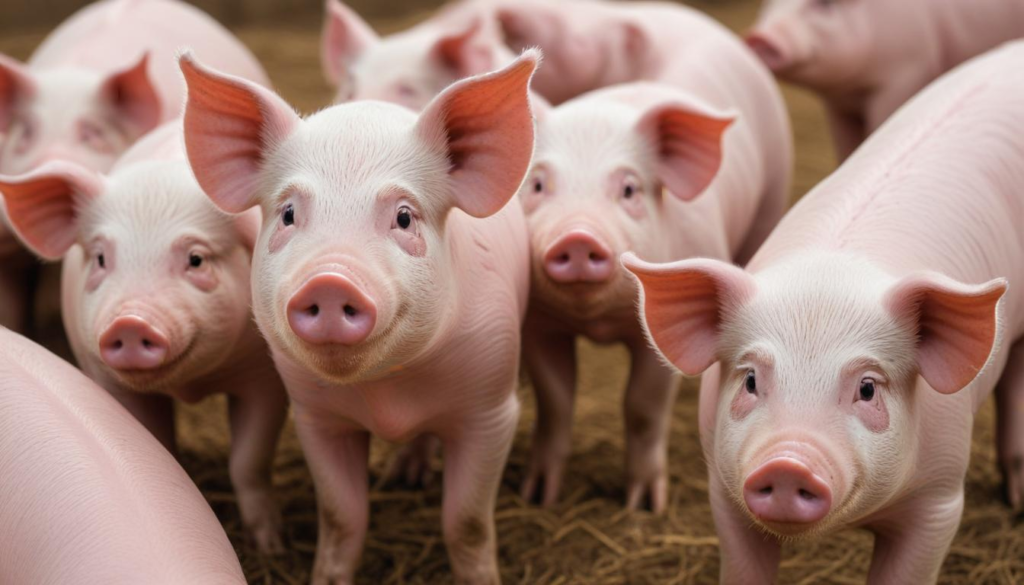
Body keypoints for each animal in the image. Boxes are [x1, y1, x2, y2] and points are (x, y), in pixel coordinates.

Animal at [0, 122, 289, 555]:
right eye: (101, 258)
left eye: (196, 259)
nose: (131, 322)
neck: (191, 385)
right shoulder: (107, 380)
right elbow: (156, 445)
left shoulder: (264, 379)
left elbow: (248, 461)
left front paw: (270, 546)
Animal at [177, 49, 537, 584]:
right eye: (287, 213)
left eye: (404, 216)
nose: (330, 280)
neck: (387, 397)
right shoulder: (316, 416)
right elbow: (342, 517)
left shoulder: (492, 408)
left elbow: (467, 523)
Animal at [517, 3, 792, 511]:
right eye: (539, 184)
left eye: (629, 188)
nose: (577, 236)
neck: (598, 322)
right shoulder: (539, 324)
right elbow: (556, 401)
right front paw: (538, 497)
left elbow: (643, 407)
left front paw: (643, 506)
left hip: (772, 196)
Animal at [746, 0, 1024, 160]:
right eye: (771, 3)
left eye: (824, 4)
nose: (760, 38)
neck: (854, 90)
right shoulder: (837, 106)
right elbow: (845, 144)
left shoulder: (905, 73)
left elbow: (879, 124)